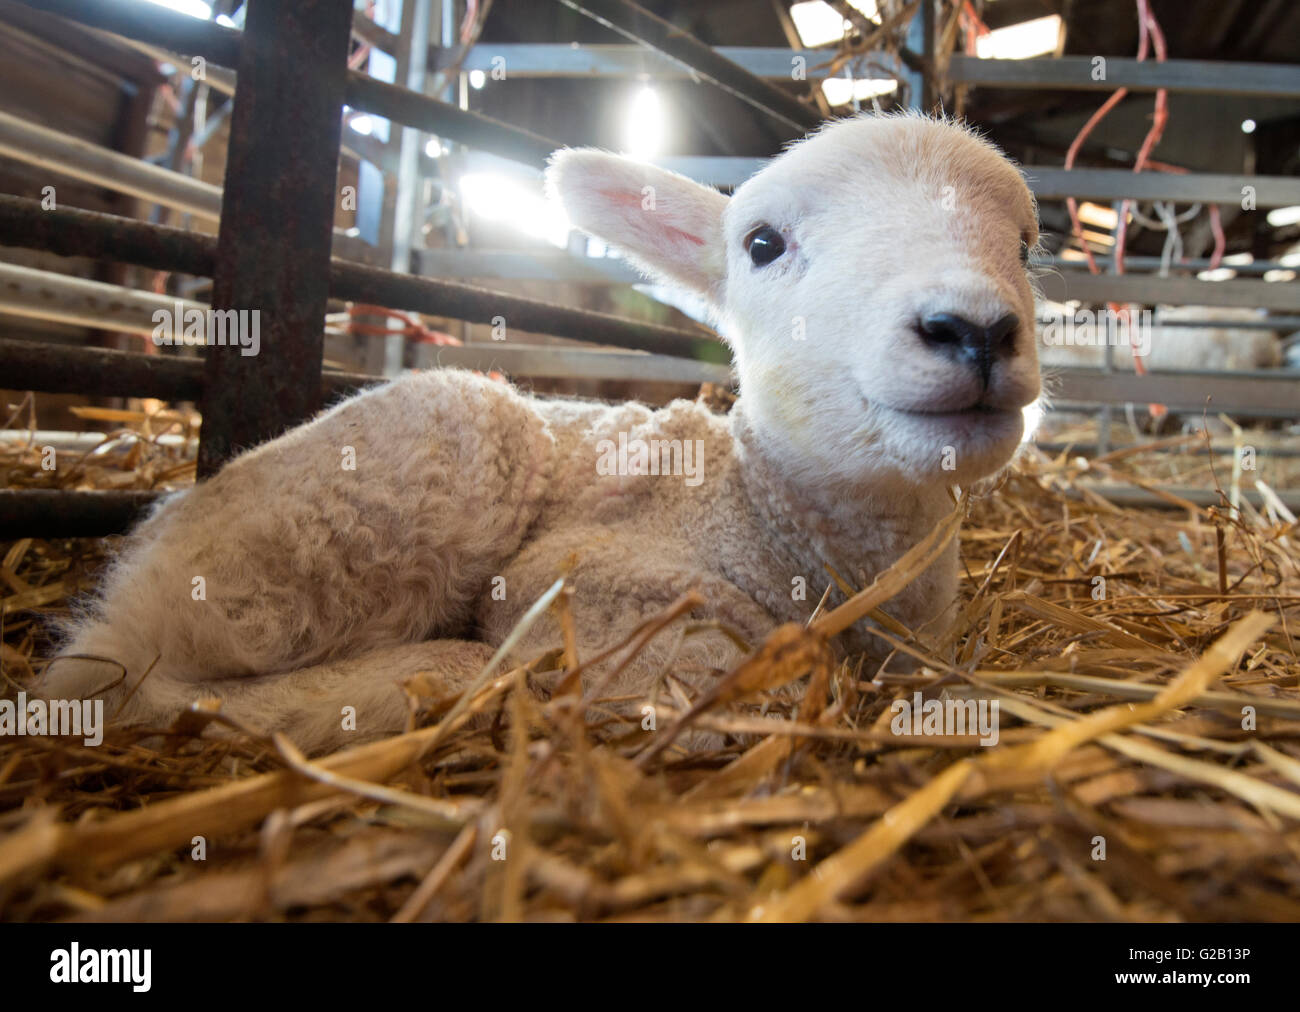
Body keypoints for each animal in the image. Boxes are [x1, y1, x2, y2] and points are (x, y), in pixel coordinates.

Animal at [36, 113, 1042, 754]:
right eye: (761, 244)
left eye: (1029, 245)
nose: (974, 329)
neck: (761, 505)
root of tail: (154, 540)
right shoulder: (577, 576)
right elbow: (729, 671)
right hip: (416, 461)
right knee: (145, 684)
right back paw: (438, 672)